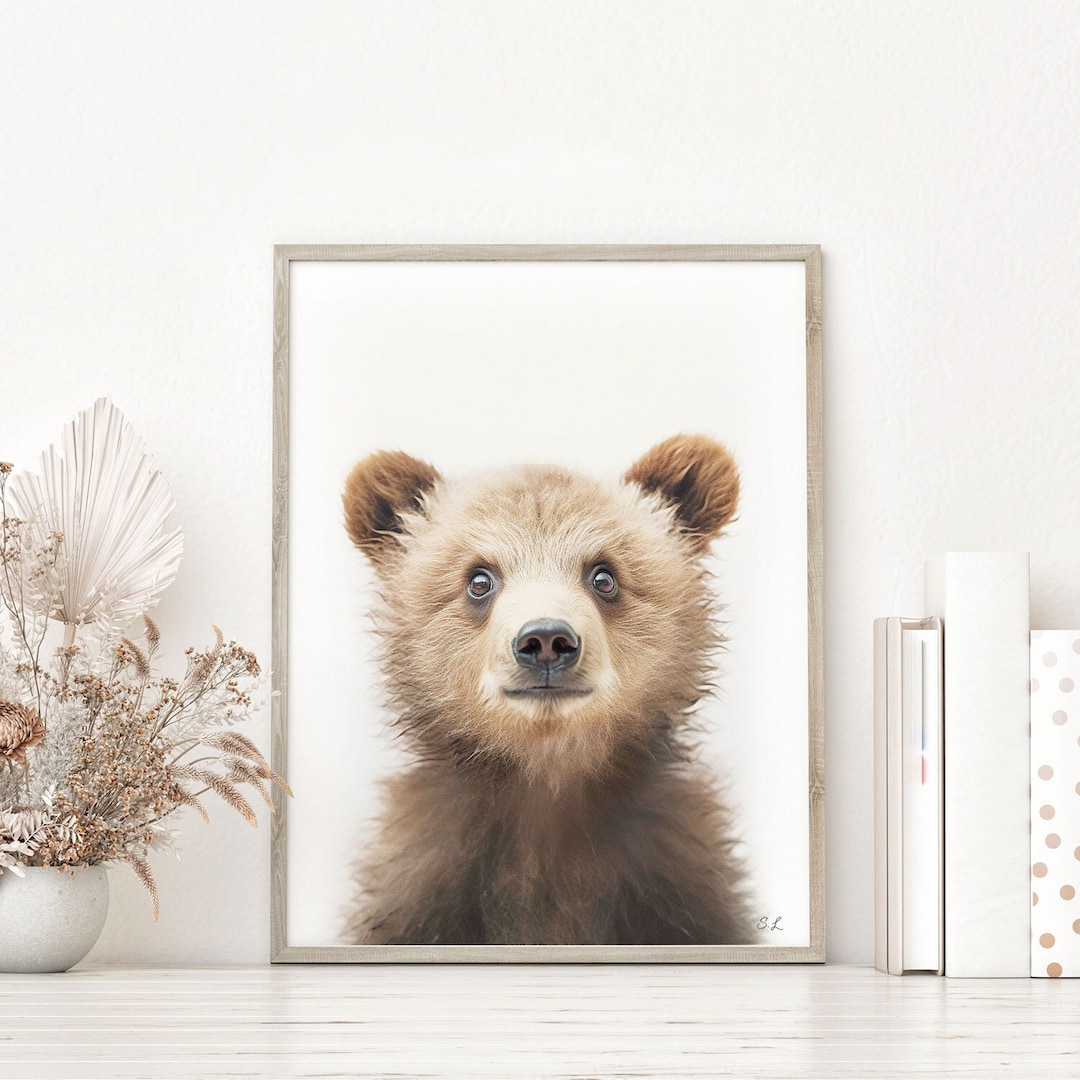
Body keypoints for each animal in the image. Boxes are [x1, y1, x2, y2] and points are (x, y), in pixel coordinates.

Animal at [340, 434, 755, 946]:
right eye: (479, 579)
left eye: (604, 575)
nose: (545, 641)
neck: (545, 781)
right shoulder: (427, 887)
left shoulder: (674, 880)